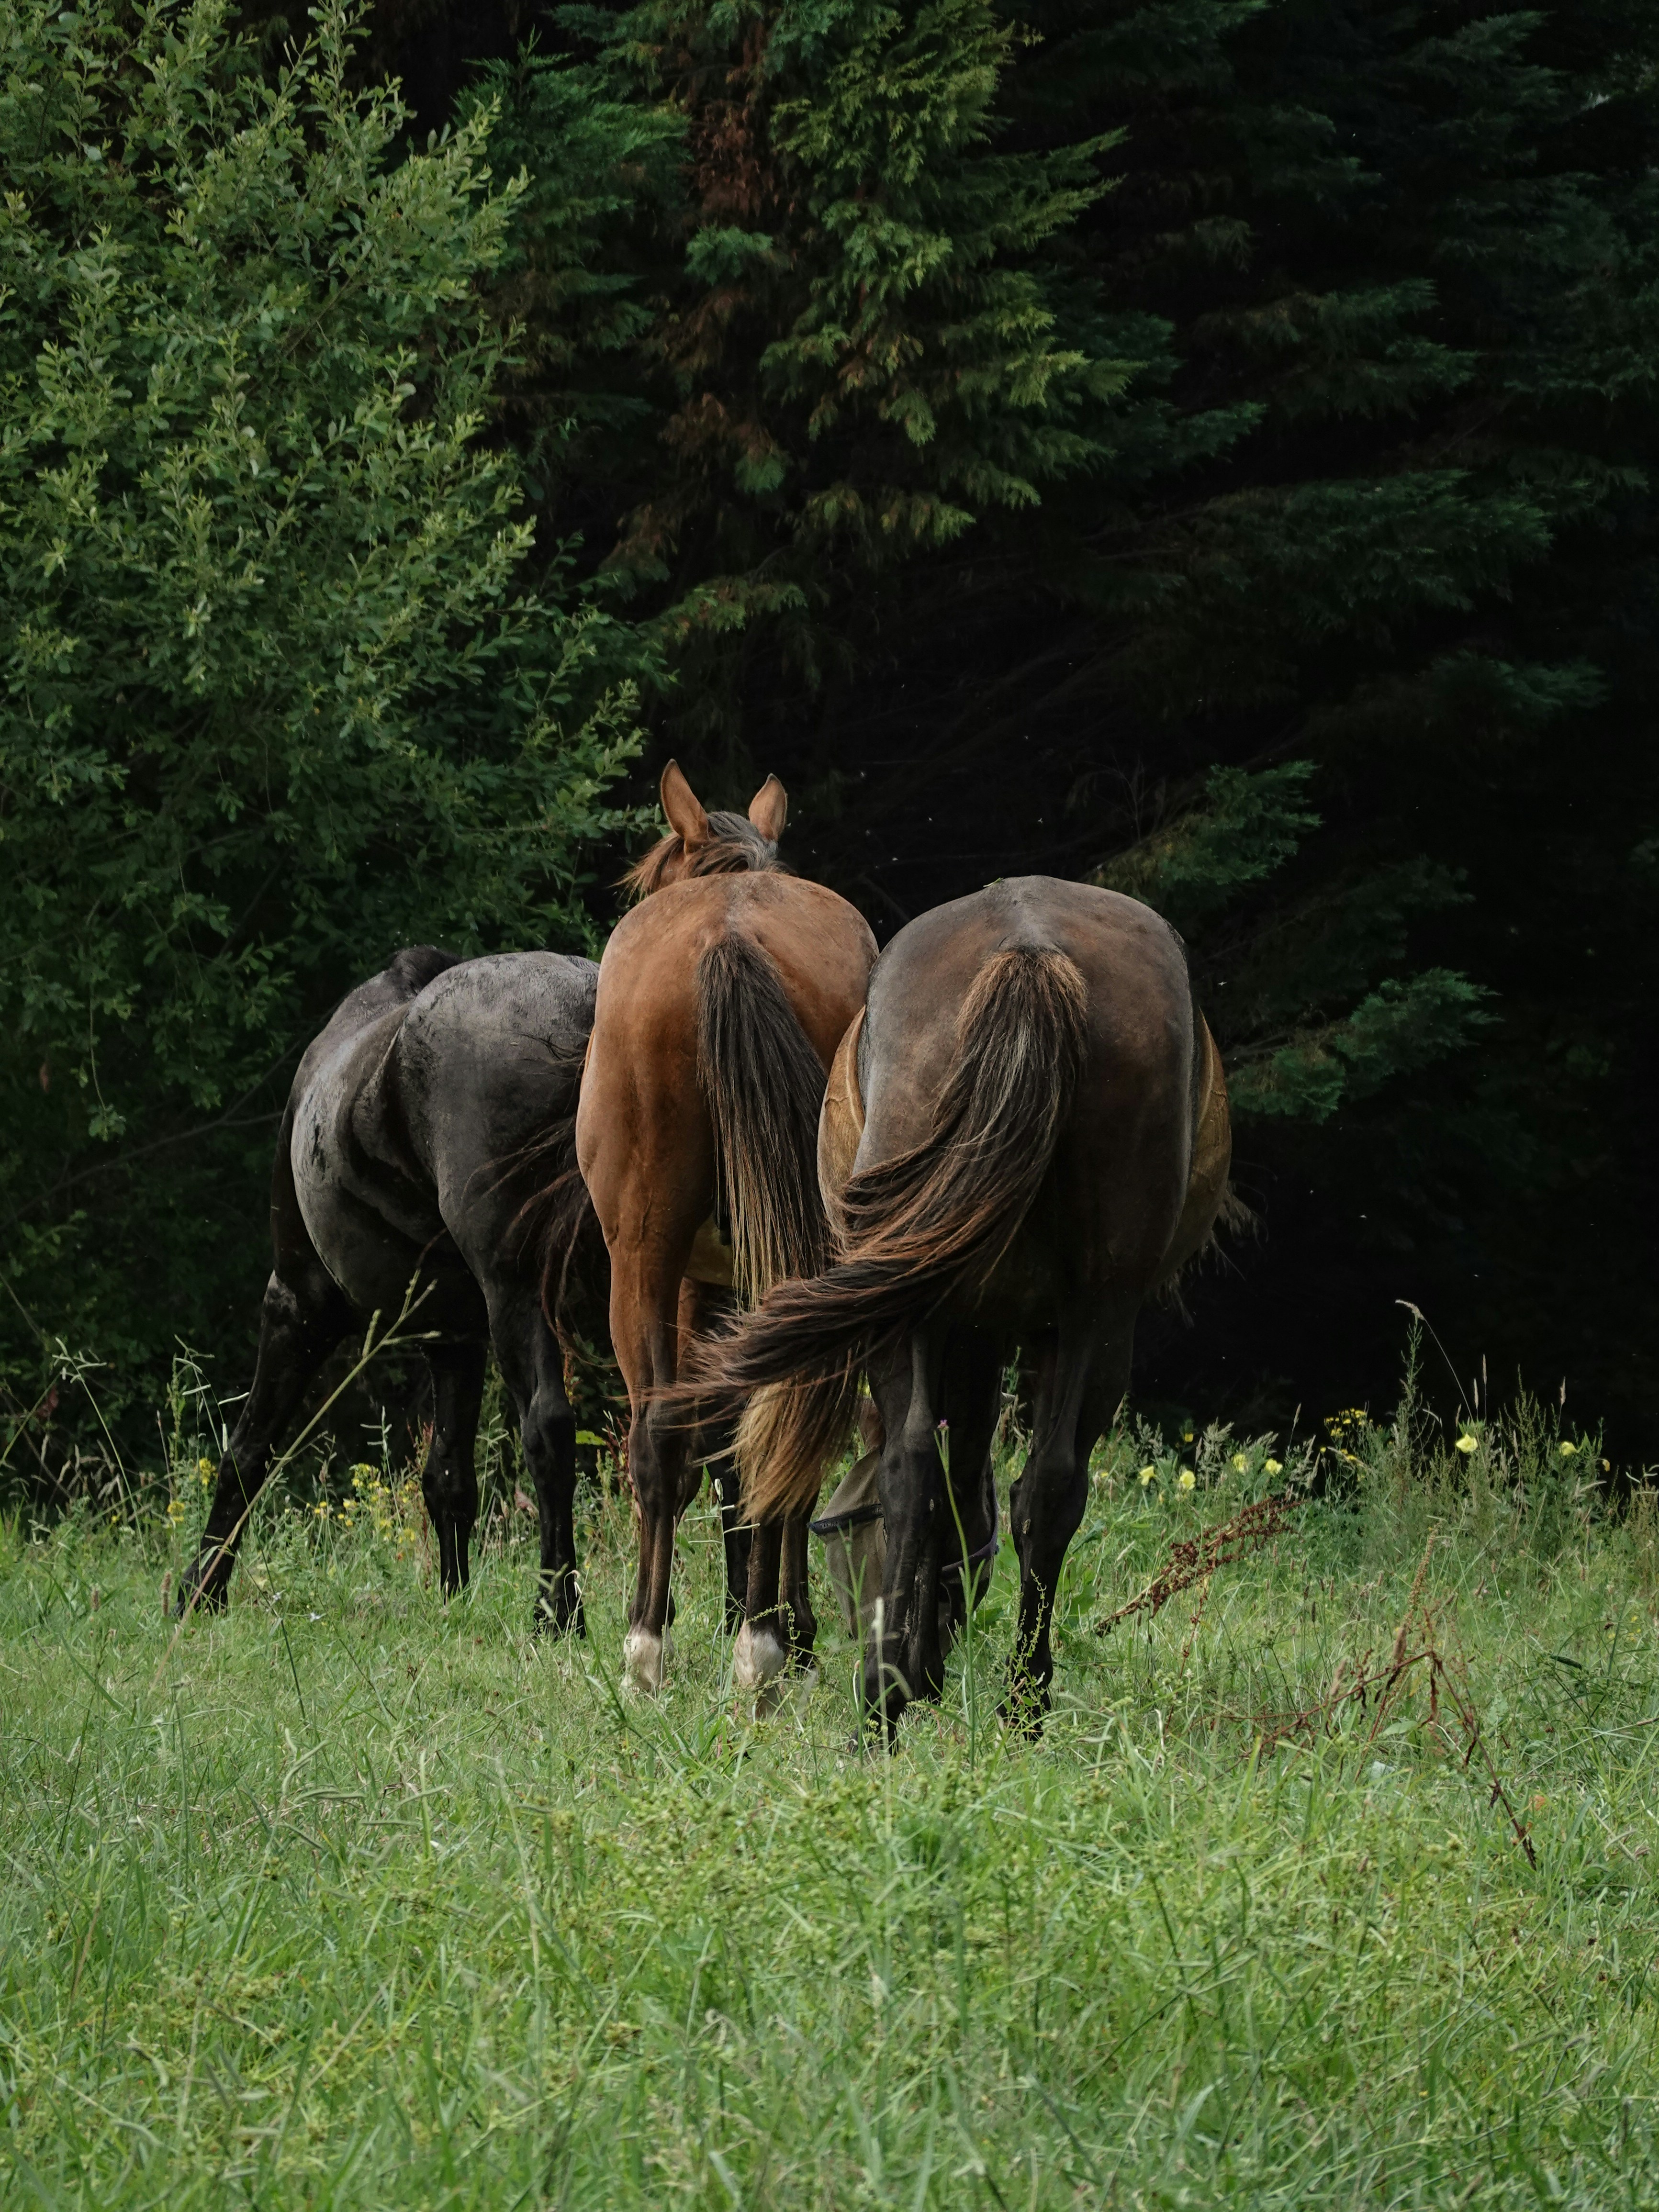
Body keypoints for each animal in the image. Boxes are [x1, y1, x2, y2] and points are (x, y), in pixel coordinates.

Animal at [178, 947, 609, 1630]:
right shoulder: (455, 1336)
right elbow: (449, 1477)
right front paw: (453, 1598)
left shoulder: (297, 1303)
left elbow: (246, 1452)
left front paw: (200, 1589)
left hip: (518, 1290)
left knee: (548, 1427)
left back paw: (557, 1610)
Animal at [573, 759, 878, 1694]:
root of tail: (729, 934)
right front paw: (773, 1620)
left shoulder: (693, 1283)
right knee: (782, 1421)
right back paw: (759, 1646)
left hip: (642, 1259)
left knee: (663, 1438)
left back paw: (659, 1646)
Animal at [681, 875, 1233, 1739]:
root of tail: (1029, 953)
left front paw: (919, 1661)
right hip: (1092, 1315)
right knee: (1034, 1482)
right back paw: (1005, 1698)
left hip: (963, 1312)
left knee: (921, 1469)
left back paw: (892, 1699)